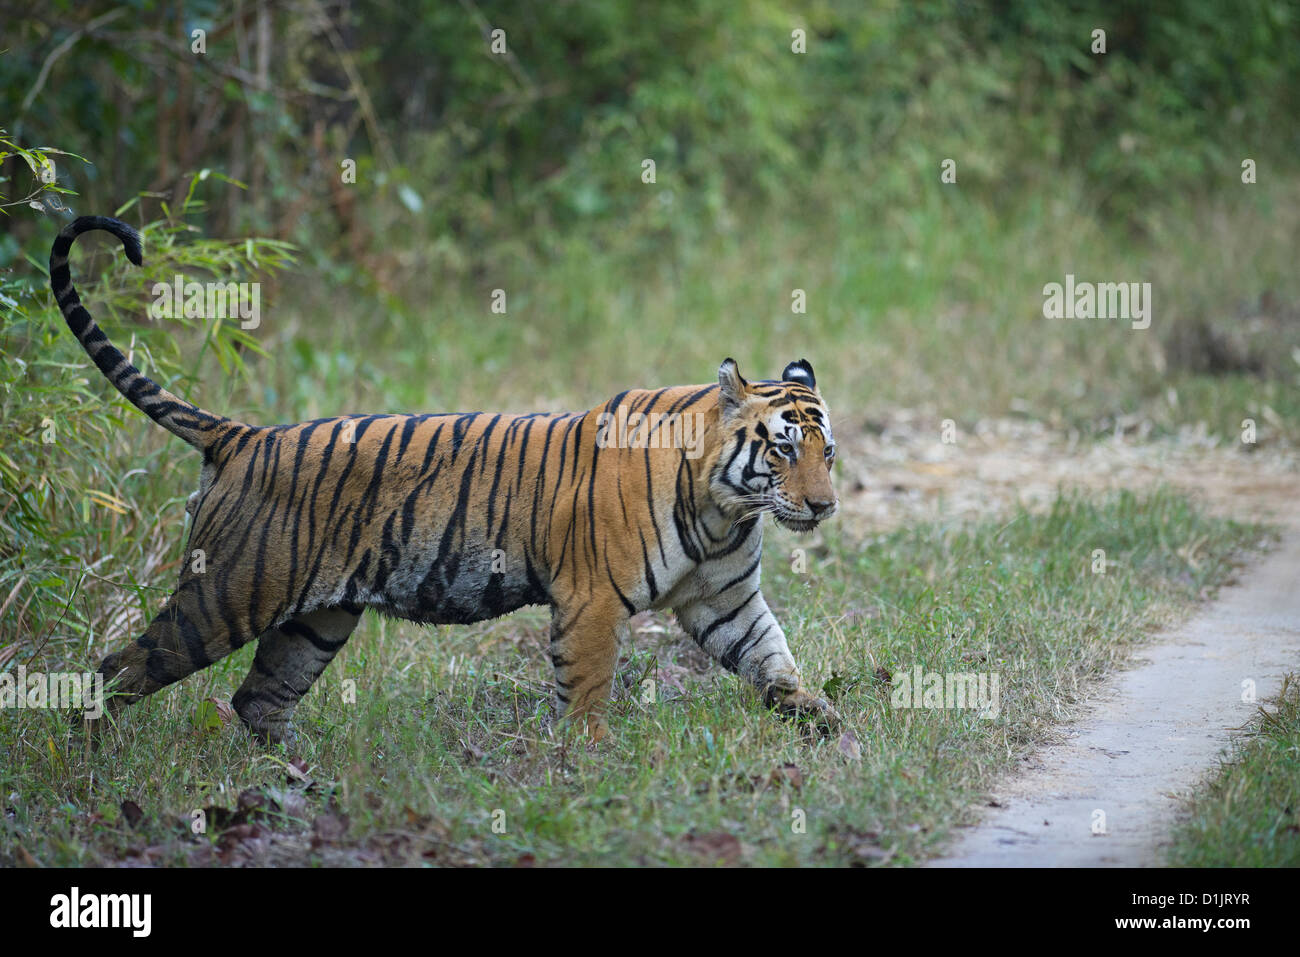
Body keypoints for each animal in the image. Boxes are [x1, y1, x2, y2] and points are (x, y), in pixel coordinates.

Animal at [50, 215, 842, 744]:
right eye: (781, 450)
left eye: (827, 452)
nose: (825, 506)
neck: (725, 508)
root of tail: (243, 435)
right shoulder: (590, 601)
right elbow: (588, 690)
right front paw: (589, 758)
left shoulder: (726, 601)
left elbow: (772, 659)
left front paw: (823, 718)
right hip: (224, 594)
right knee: (117, 669)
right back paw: (89, 758)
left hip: (315, 619)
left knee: (260, 699)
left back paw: (300, 775)